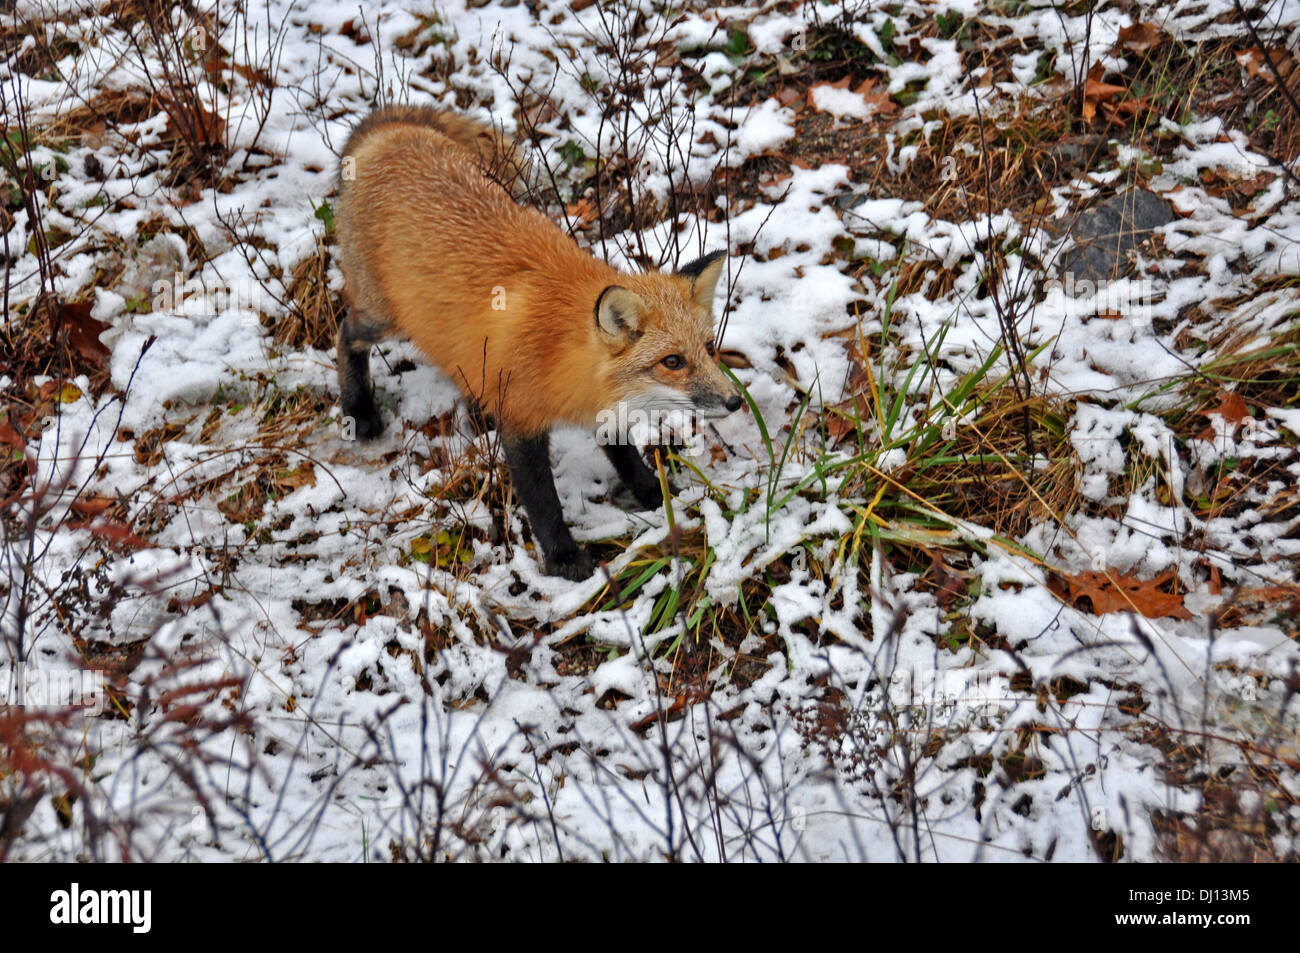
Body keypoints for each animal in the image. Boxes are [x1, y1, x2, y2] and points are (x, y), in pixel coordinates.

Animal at [333, 105, 743, 581]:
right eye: (672, 361)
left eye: (708, 348)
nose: (735, 401)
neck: (558, 348)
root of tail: (389, 131)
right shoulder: (522, 422)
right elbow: (543, 500)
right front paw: (564, 558)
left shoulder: (602, 401)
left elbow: (626, 457)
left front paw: (655, 495)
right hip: (383, 320)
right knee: (345, 333)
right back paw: (359, 409)